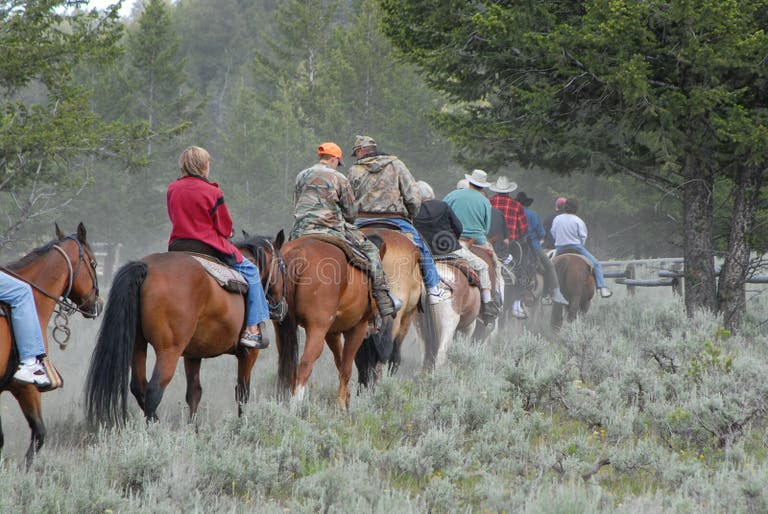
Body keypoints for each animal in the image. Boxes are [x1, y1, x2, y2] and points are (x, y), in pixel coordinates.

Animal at [84, 232, 286, 427]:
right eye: (283, 266)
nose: (282, 307)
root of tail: (147, 268)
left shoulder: (193, 355)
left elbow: (194, 393)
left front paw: (192, 430)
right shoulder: (248, 354)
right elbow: (242, 393)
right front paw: (242, 425)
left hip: (137, 345)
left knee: (139, 387)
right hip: (169, 350)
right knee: (154, 391)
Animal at [271, 234, 376, 409]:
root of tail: (299, 253)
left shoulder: (331, 333)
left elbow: (340, 362)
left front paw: (345, 398)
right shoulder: (358, 328)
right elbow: (346, 368)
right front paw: (341, 405)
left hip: (282, 328)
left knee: (288, 364)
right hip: (317, 330)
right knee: (306, 363)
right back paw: (296, 405)